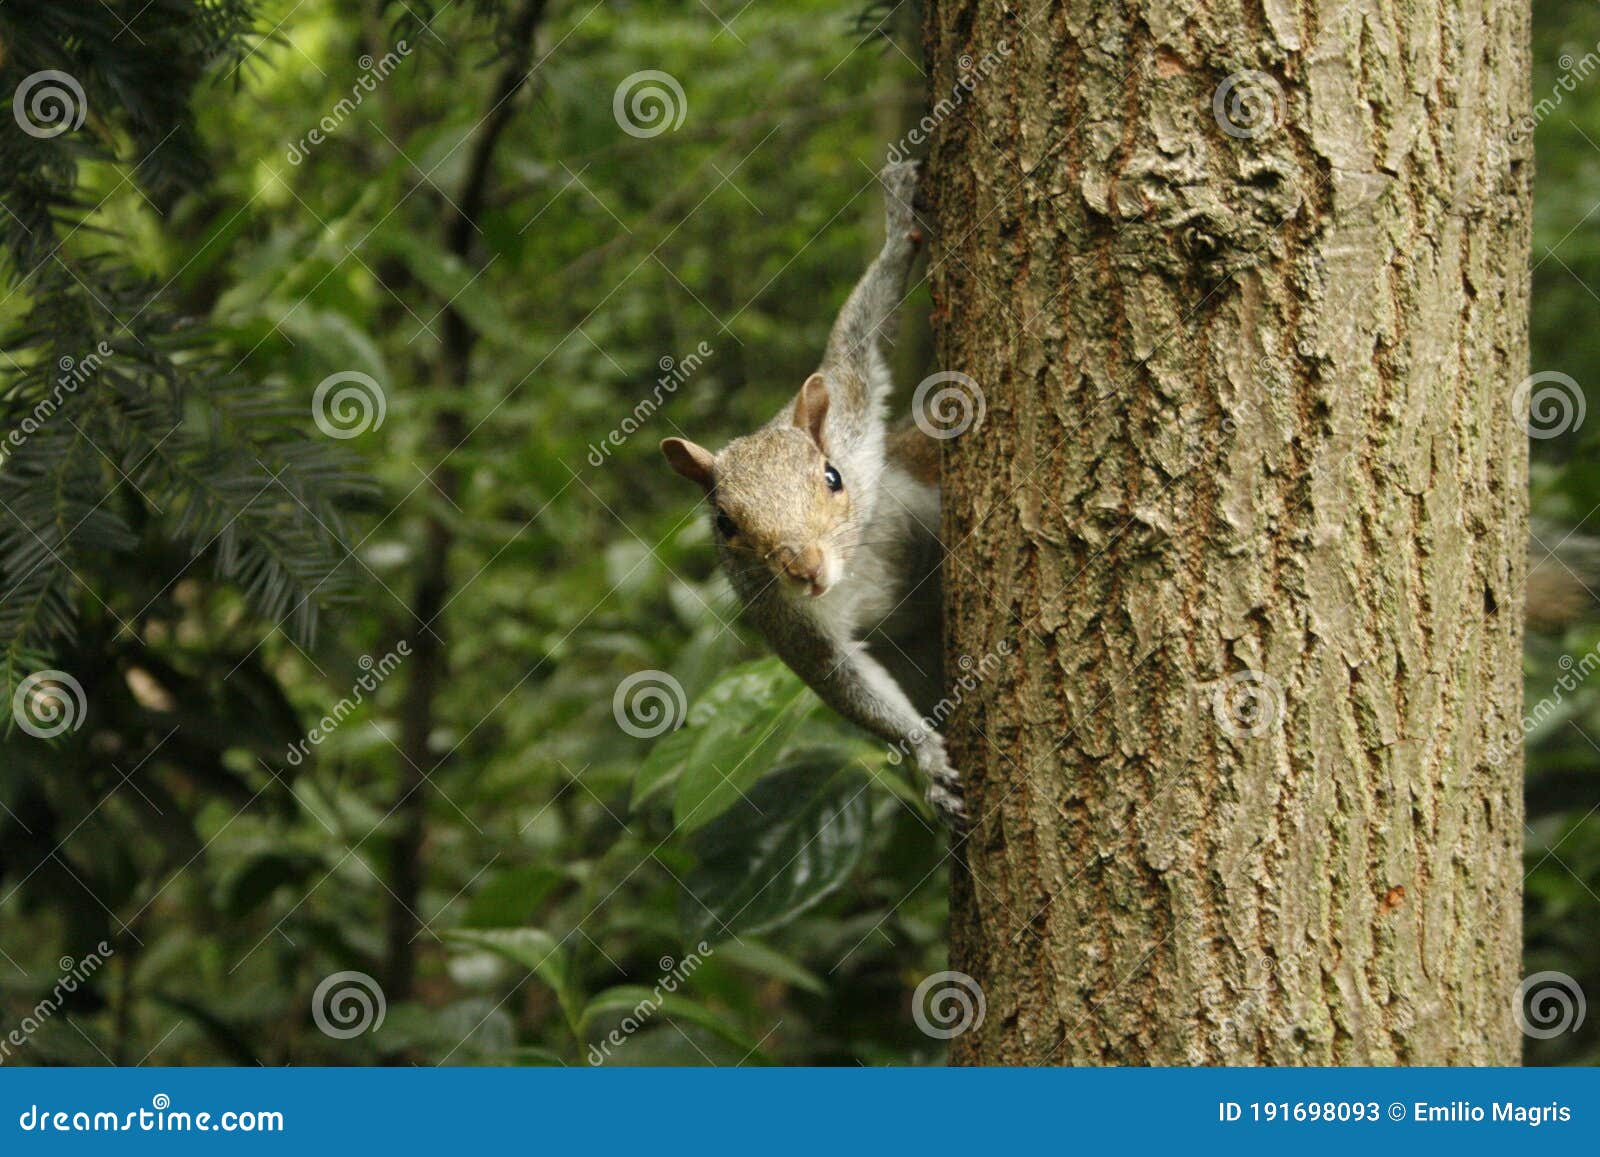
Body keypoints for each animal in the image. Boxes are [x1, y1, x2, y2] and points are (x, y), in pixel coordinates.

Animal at [660, 161, 967, 829]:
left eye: (832, 477)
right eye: (724, 523)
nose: (804, 567)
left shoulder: (852, 420)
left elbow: (854, 351)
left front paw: (897, 226)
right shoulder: (783, 620)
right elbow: (843, 682)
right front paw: (929, 760)